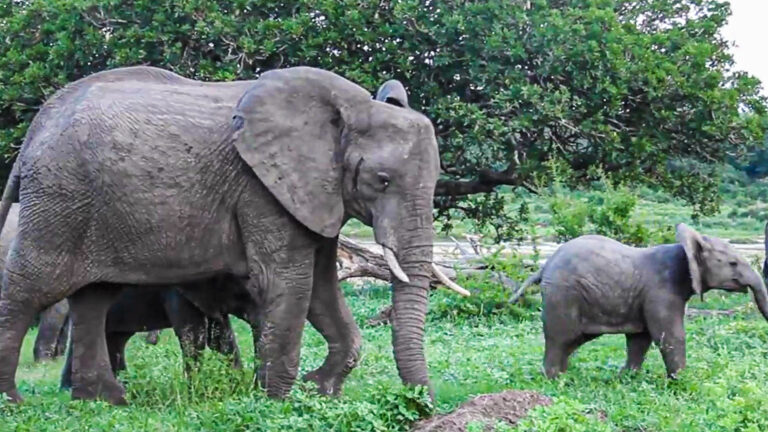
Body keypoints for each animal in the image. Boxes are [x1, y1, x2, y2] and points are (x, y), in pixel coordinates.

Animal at [0, 65, 462, 404]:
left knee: (94, 298)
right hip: (60, 194)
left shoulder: (316, 193)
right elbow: (290, 283)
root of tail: (38, 126)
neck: (348, 109)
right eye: (381, 180)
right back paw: (16, 403)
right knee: (30, 287)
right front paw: (275, 402)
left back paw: (105, 402)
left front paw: (319, 390)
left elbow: (322, 288)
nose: (423, 404)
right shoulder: (262, 188)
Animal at [520, 224, 768, 379]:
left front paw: (626, 379)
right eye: (733, 264)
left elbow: (640, 339)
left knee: (571, 341)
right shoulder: (661, 291)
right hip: (563, 294)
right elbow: (669, 336)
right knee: (562, 338)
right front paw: (682, 381)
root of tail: (545, 266)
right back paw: (554, 379)